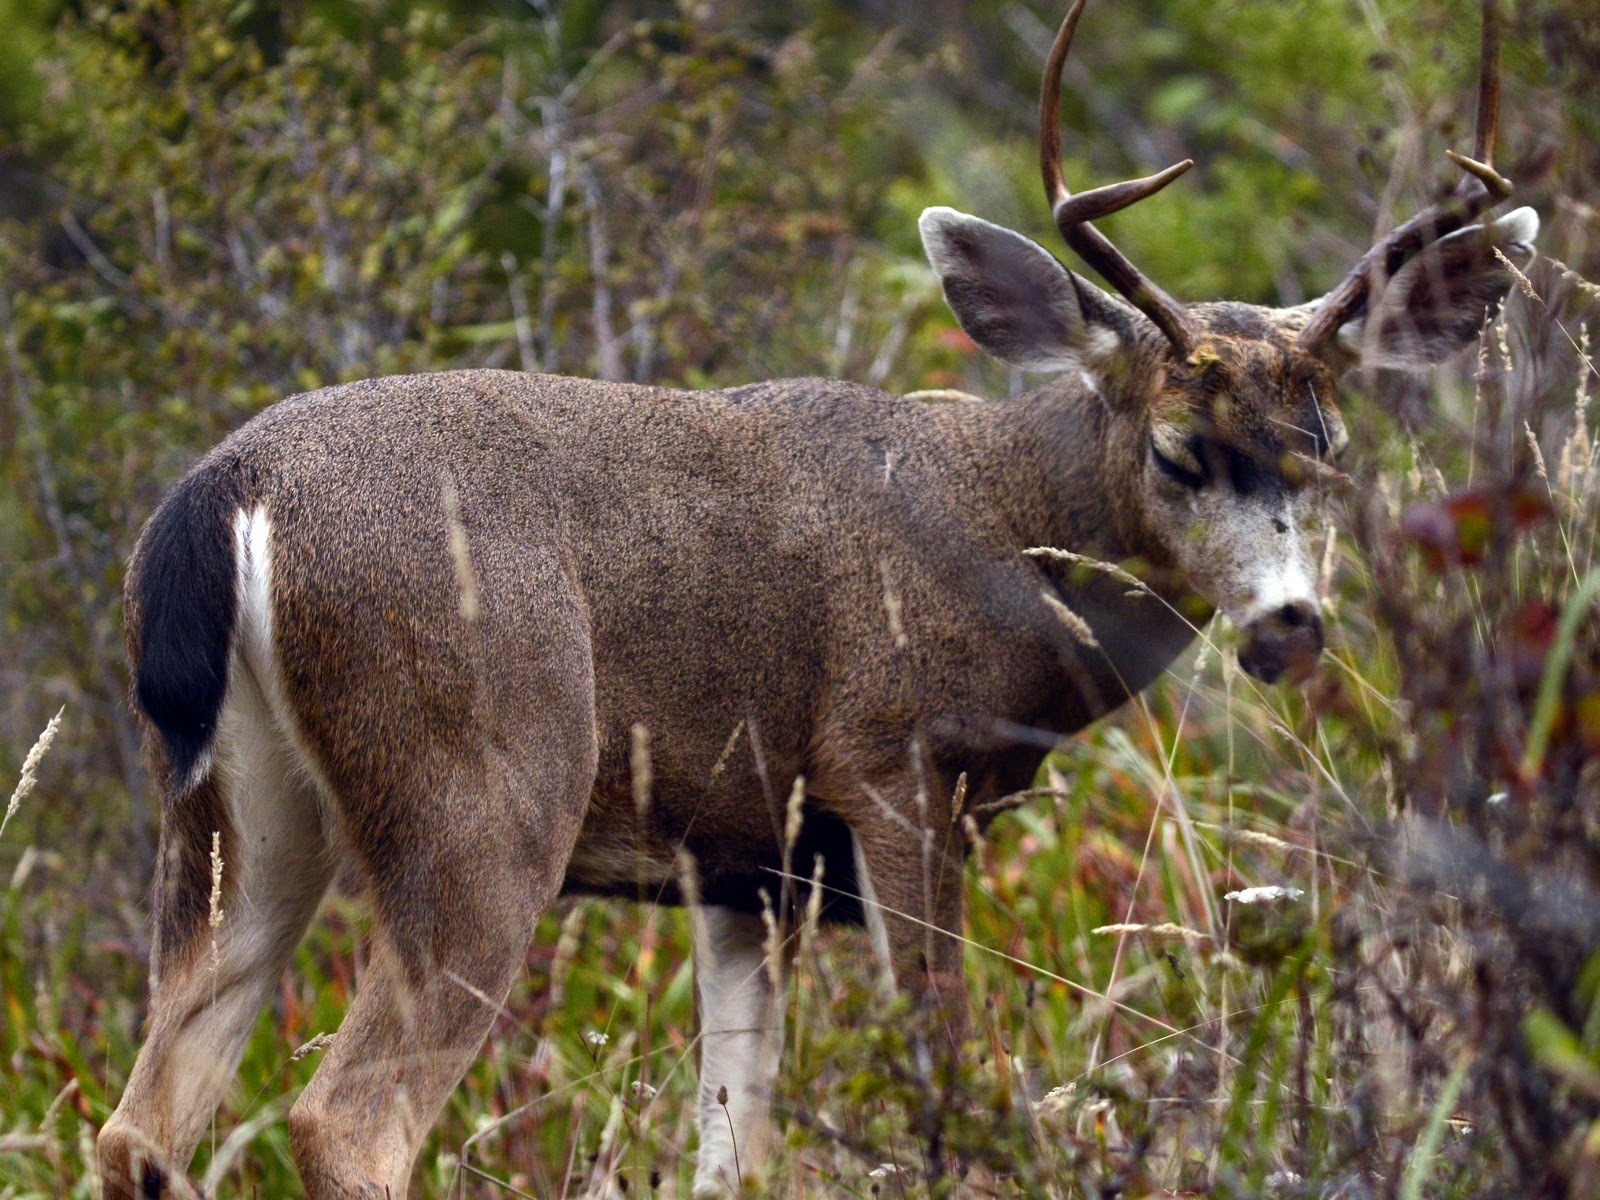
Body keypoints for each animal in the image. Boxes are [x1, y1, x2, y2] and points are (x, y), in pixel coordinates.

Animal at [97, 0, 1537, 1196]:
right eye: (1181, 449)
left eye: (1327, 445)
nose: (1291, 625)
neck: (1002, 531)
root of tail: (223, 495)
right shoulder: (893, 766)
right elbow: (940, 1067)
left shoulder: (746, 866)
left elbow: (730, 1146)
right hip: (485, 777)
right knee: (346, 1119)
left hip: (234, 804)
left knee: (141, 1120)